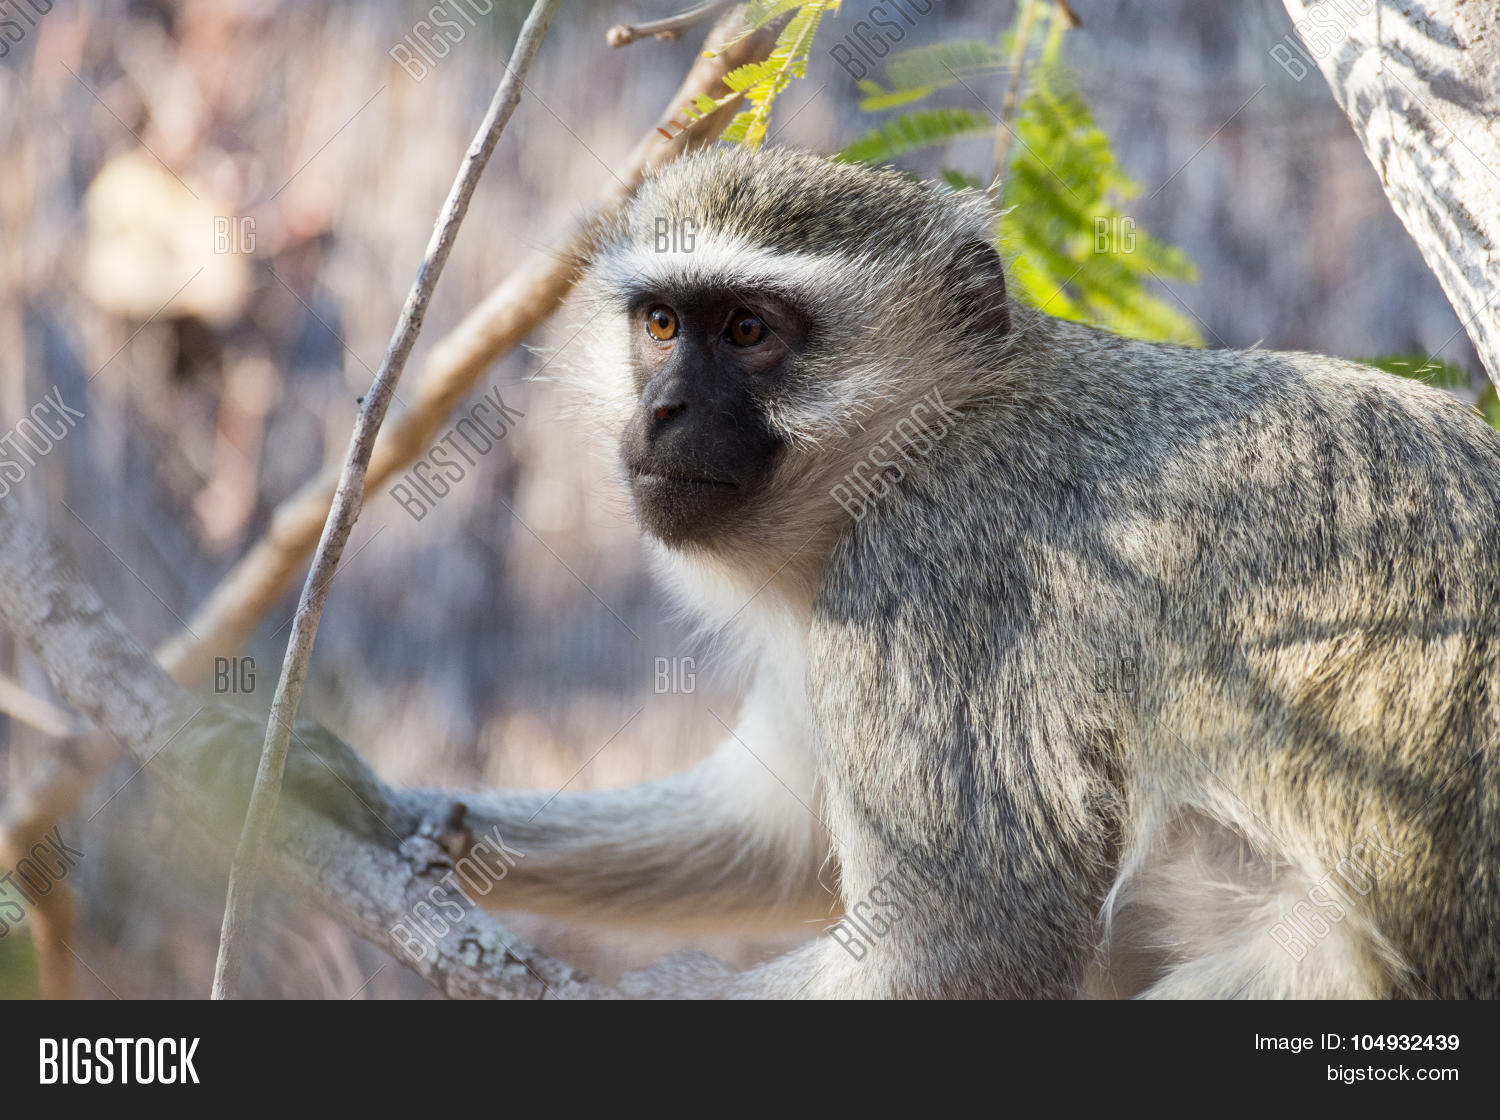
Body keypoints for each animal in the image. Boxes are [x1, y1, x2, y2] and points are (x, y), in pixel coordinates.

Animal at [302, 145, 1500, 998]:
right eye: (662, 323)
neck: (931, 432)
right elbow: (773, 835)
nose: (665, 411)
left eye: (750, 331)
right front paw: (369, 801)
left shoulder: (930, 578)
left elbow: (962, 946)